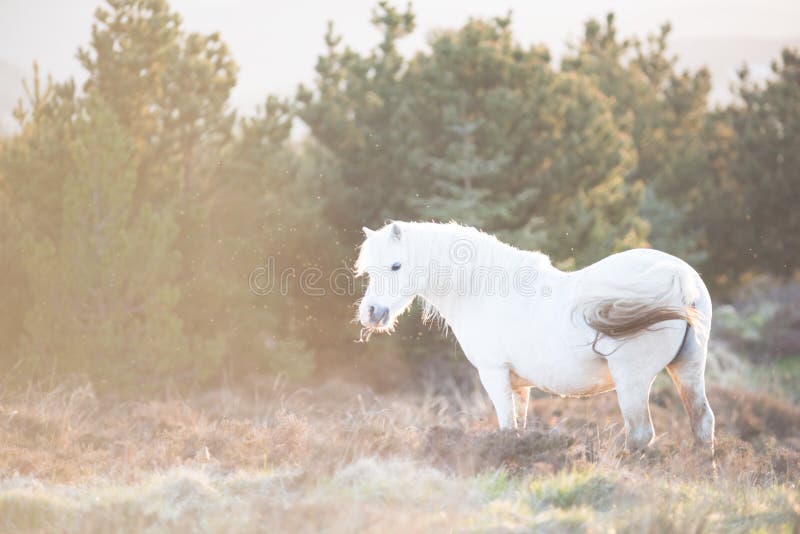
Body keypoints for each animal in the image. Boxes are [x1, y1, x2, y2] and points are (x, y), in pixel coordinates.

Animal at [355, 221, 715, 453]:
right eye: (369, 270)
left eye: (396, 266)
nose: (371, 312)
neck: (482, 292)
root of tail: (679, 276)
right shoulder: (520, 386)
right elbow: (520, 428)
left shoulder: (494, 374)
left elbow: (507, 428)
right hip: (688, 369)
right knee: (702, 424)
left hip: (632, 379)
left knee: (640, 434)